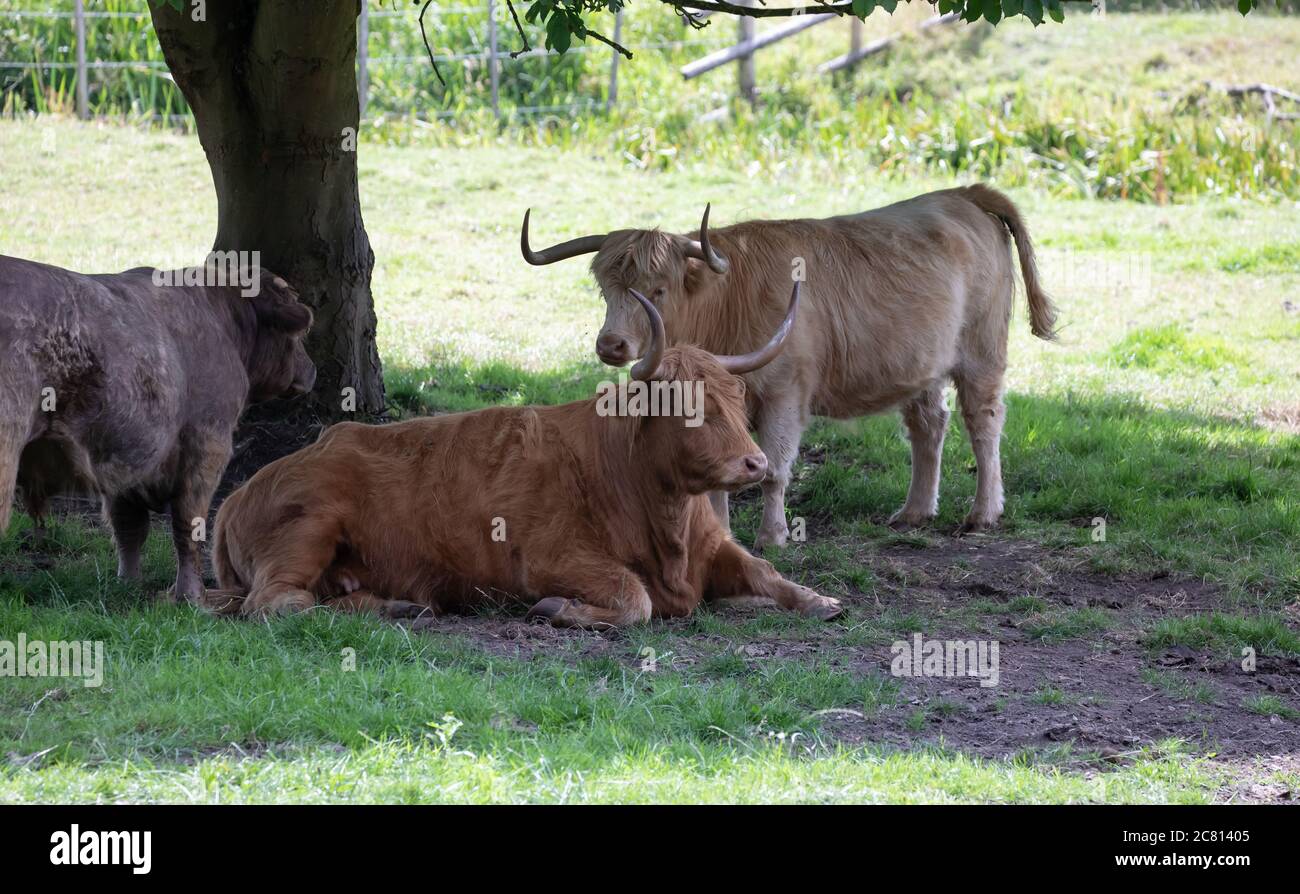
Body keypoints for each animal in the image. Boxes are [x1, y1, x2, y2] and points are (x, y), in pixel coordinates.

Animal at [0, 255, 315, 602]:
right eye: (299, 337)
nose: (312, 369)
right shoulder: (207, 444)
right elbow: (188, 527)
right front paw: (192, 597)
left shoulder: (127, 461)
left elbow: (129, 529)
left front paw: (128, 584)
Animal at [211, 282, 843, 626]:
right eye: (687, 406)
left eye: (736, 400)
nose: (756, 464)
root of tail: (238, 495)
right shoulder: (550, 560)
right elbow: (633, 599)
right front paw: (559, 611)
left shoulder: (717, 550)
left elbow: (767, 572)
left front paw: (821, 600)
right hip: (309, 527)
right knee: (275, 602)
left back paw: (400, 607)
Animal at [520, 185, 1057, 548]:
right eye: (606, 289)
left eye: (657, 289)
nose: (611, 344)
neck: (728, 302)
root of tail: (962, 194)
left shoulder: (785, 395)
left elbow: (774, 471)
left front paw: (773, 536)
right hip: (921, 365)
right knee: (929, 425)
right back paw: (914, 511)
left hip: (981, 352)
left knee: (984, 423)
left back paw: (983, 513)